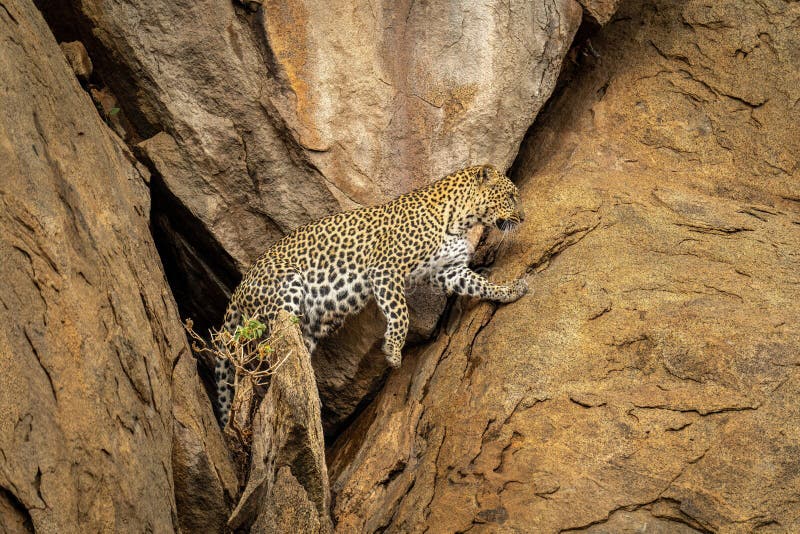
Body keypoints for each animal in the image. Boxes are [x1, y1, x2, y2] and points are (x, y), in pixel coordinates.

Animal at [214, 164, 528, 425]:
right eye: (511, 197)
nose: (523, 218)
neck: (461, 218)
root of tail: (239, 287)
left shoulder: (449, 270)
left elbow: (480, 283)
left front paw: (510, 290)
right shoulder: (386, 269)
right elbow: (400, 313)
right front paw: (393, 351)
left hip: (312, 323)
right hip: (286, 289)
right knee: (270, 353)